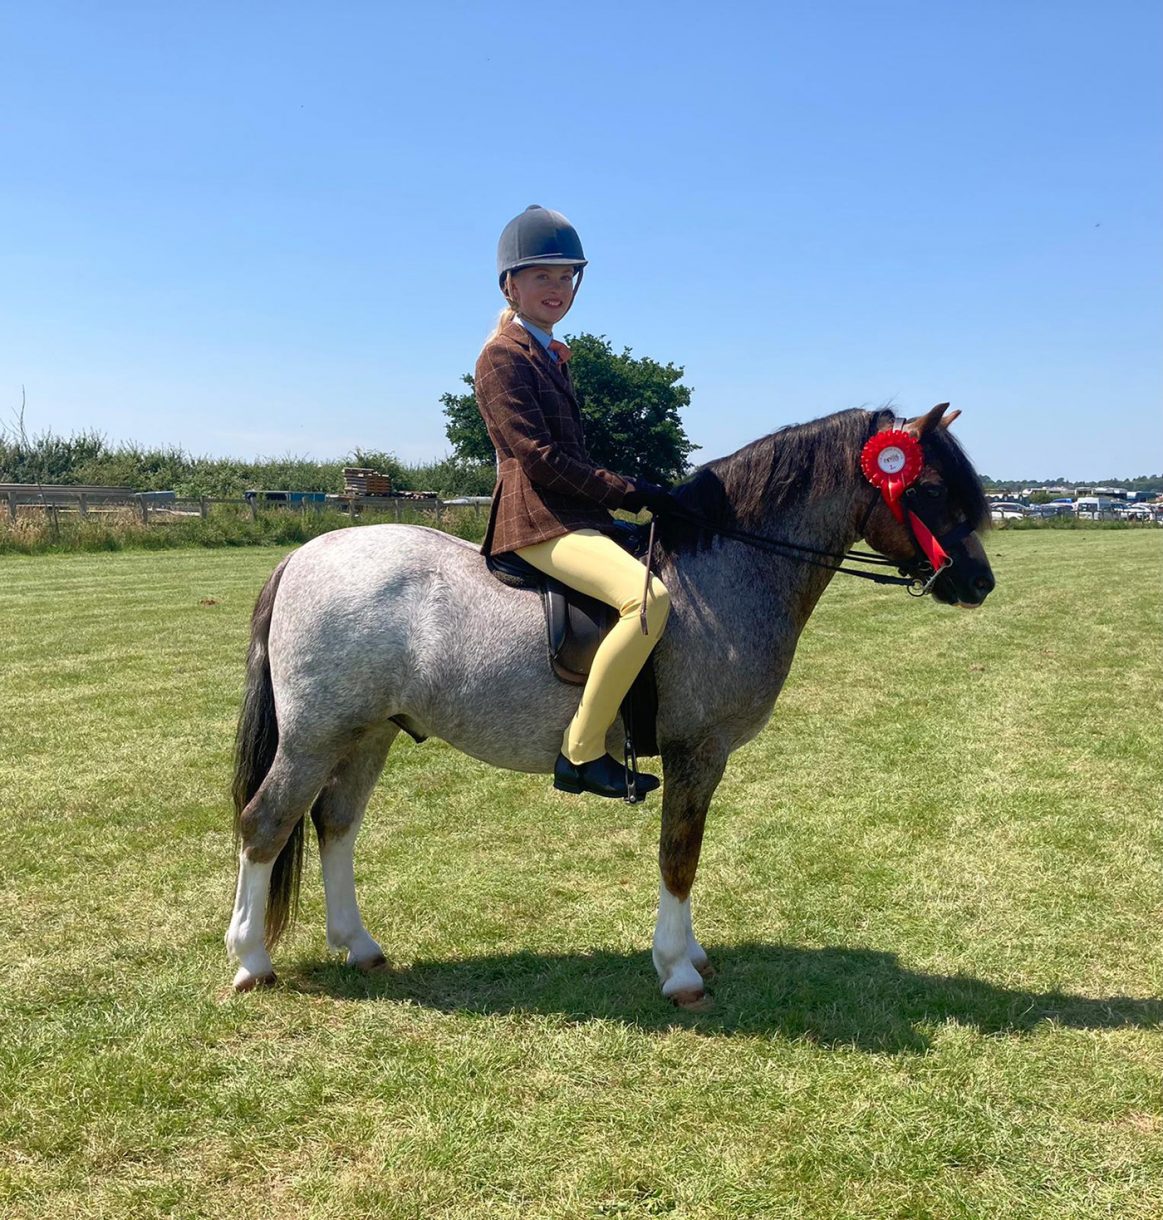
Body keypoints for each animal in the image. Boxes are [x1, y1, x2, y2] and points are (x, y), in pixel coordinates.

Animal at [225, 403, 994, 1007]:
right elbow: (679, 856)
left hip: (368, 733)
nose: (978, 583)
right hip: (316, 735)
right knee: (266, 822)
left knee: (335, 823)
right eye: (927, 487)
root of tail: (303, 556)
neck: (725, 570)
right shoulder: (697, 750)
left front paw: (690, 954)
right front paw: (678, 971)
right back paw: (251, 961)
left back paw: (359, 946)